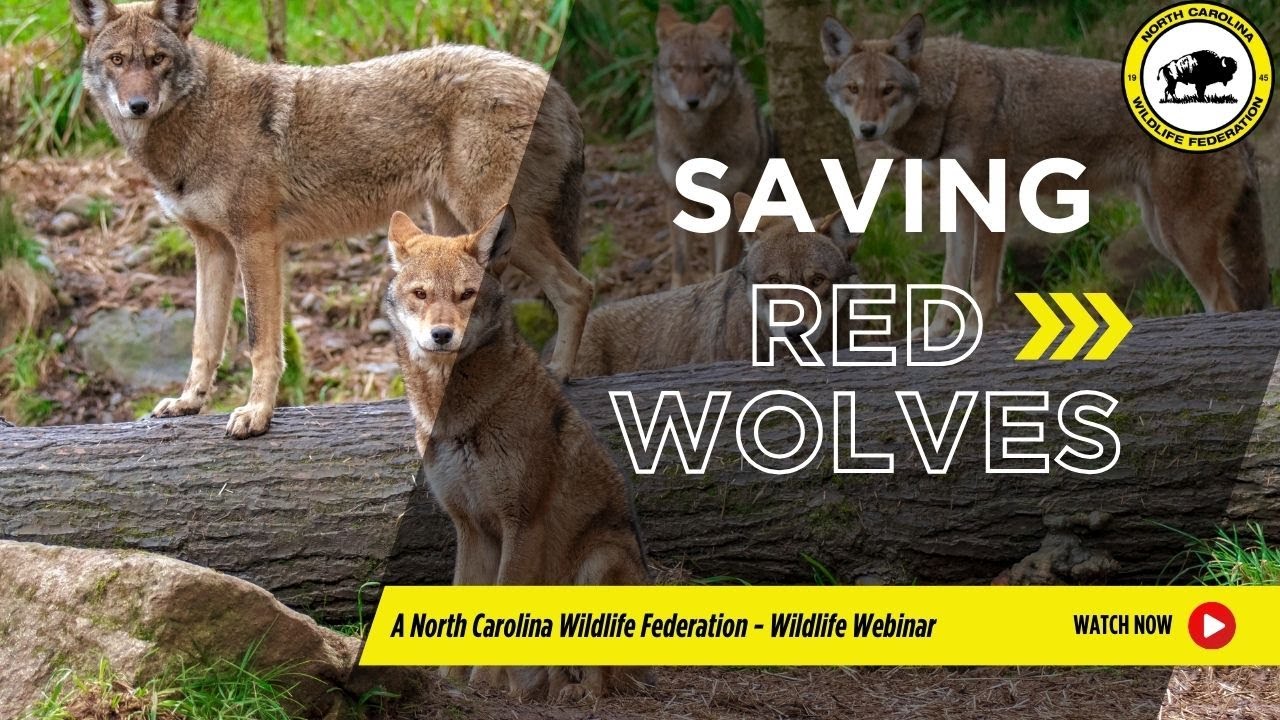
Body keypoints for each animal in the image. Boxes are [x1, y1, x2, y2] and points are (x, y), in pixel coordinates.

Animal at [70, 0, 591, 438]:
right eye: (118, 60)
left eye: (157, 58)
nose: (137, 105)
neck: (198, 123)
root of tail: (554, 85)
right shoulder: (211, 245)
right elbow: (204, 339)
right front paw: (188, 403)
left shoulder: (256, 241)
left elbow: (259, 342)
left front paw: (257, 414)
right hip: (451, 232)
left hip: (498, 226)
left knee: (578, 288)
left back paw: (560, 374)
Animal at [382, 207, 652, 700]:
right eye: (421, 294)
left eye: (467, 295)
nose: (442, 334)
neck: (458, 418)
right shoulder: (471, 527)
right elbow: (464, 606)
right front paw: (450, 682)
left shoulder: (522, 522)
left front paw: (481, 686)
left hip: (597, 563)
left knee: (606, 682)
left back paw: (573, 693)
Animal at [654, 4, 773, 287]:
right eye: (678, 68)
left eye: (708, 68)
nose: (692, 101)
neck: (697, 144)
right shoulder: (675, 200)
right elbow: (680, 264)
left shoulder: (729, 206)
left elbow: (724, 264)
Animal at [821, 14, 1268, 340]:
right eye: (854, 89)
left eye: (888, 90)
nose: (867, 130)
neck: (950, 96)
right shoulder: (959, 201)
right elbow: (952, 277)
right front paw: (937, 333)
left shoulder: (991, 197)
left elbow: (980, 280)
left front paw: (972, 333)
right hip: (1163, 233)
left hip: (1179, 234)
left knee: (1224, 301)